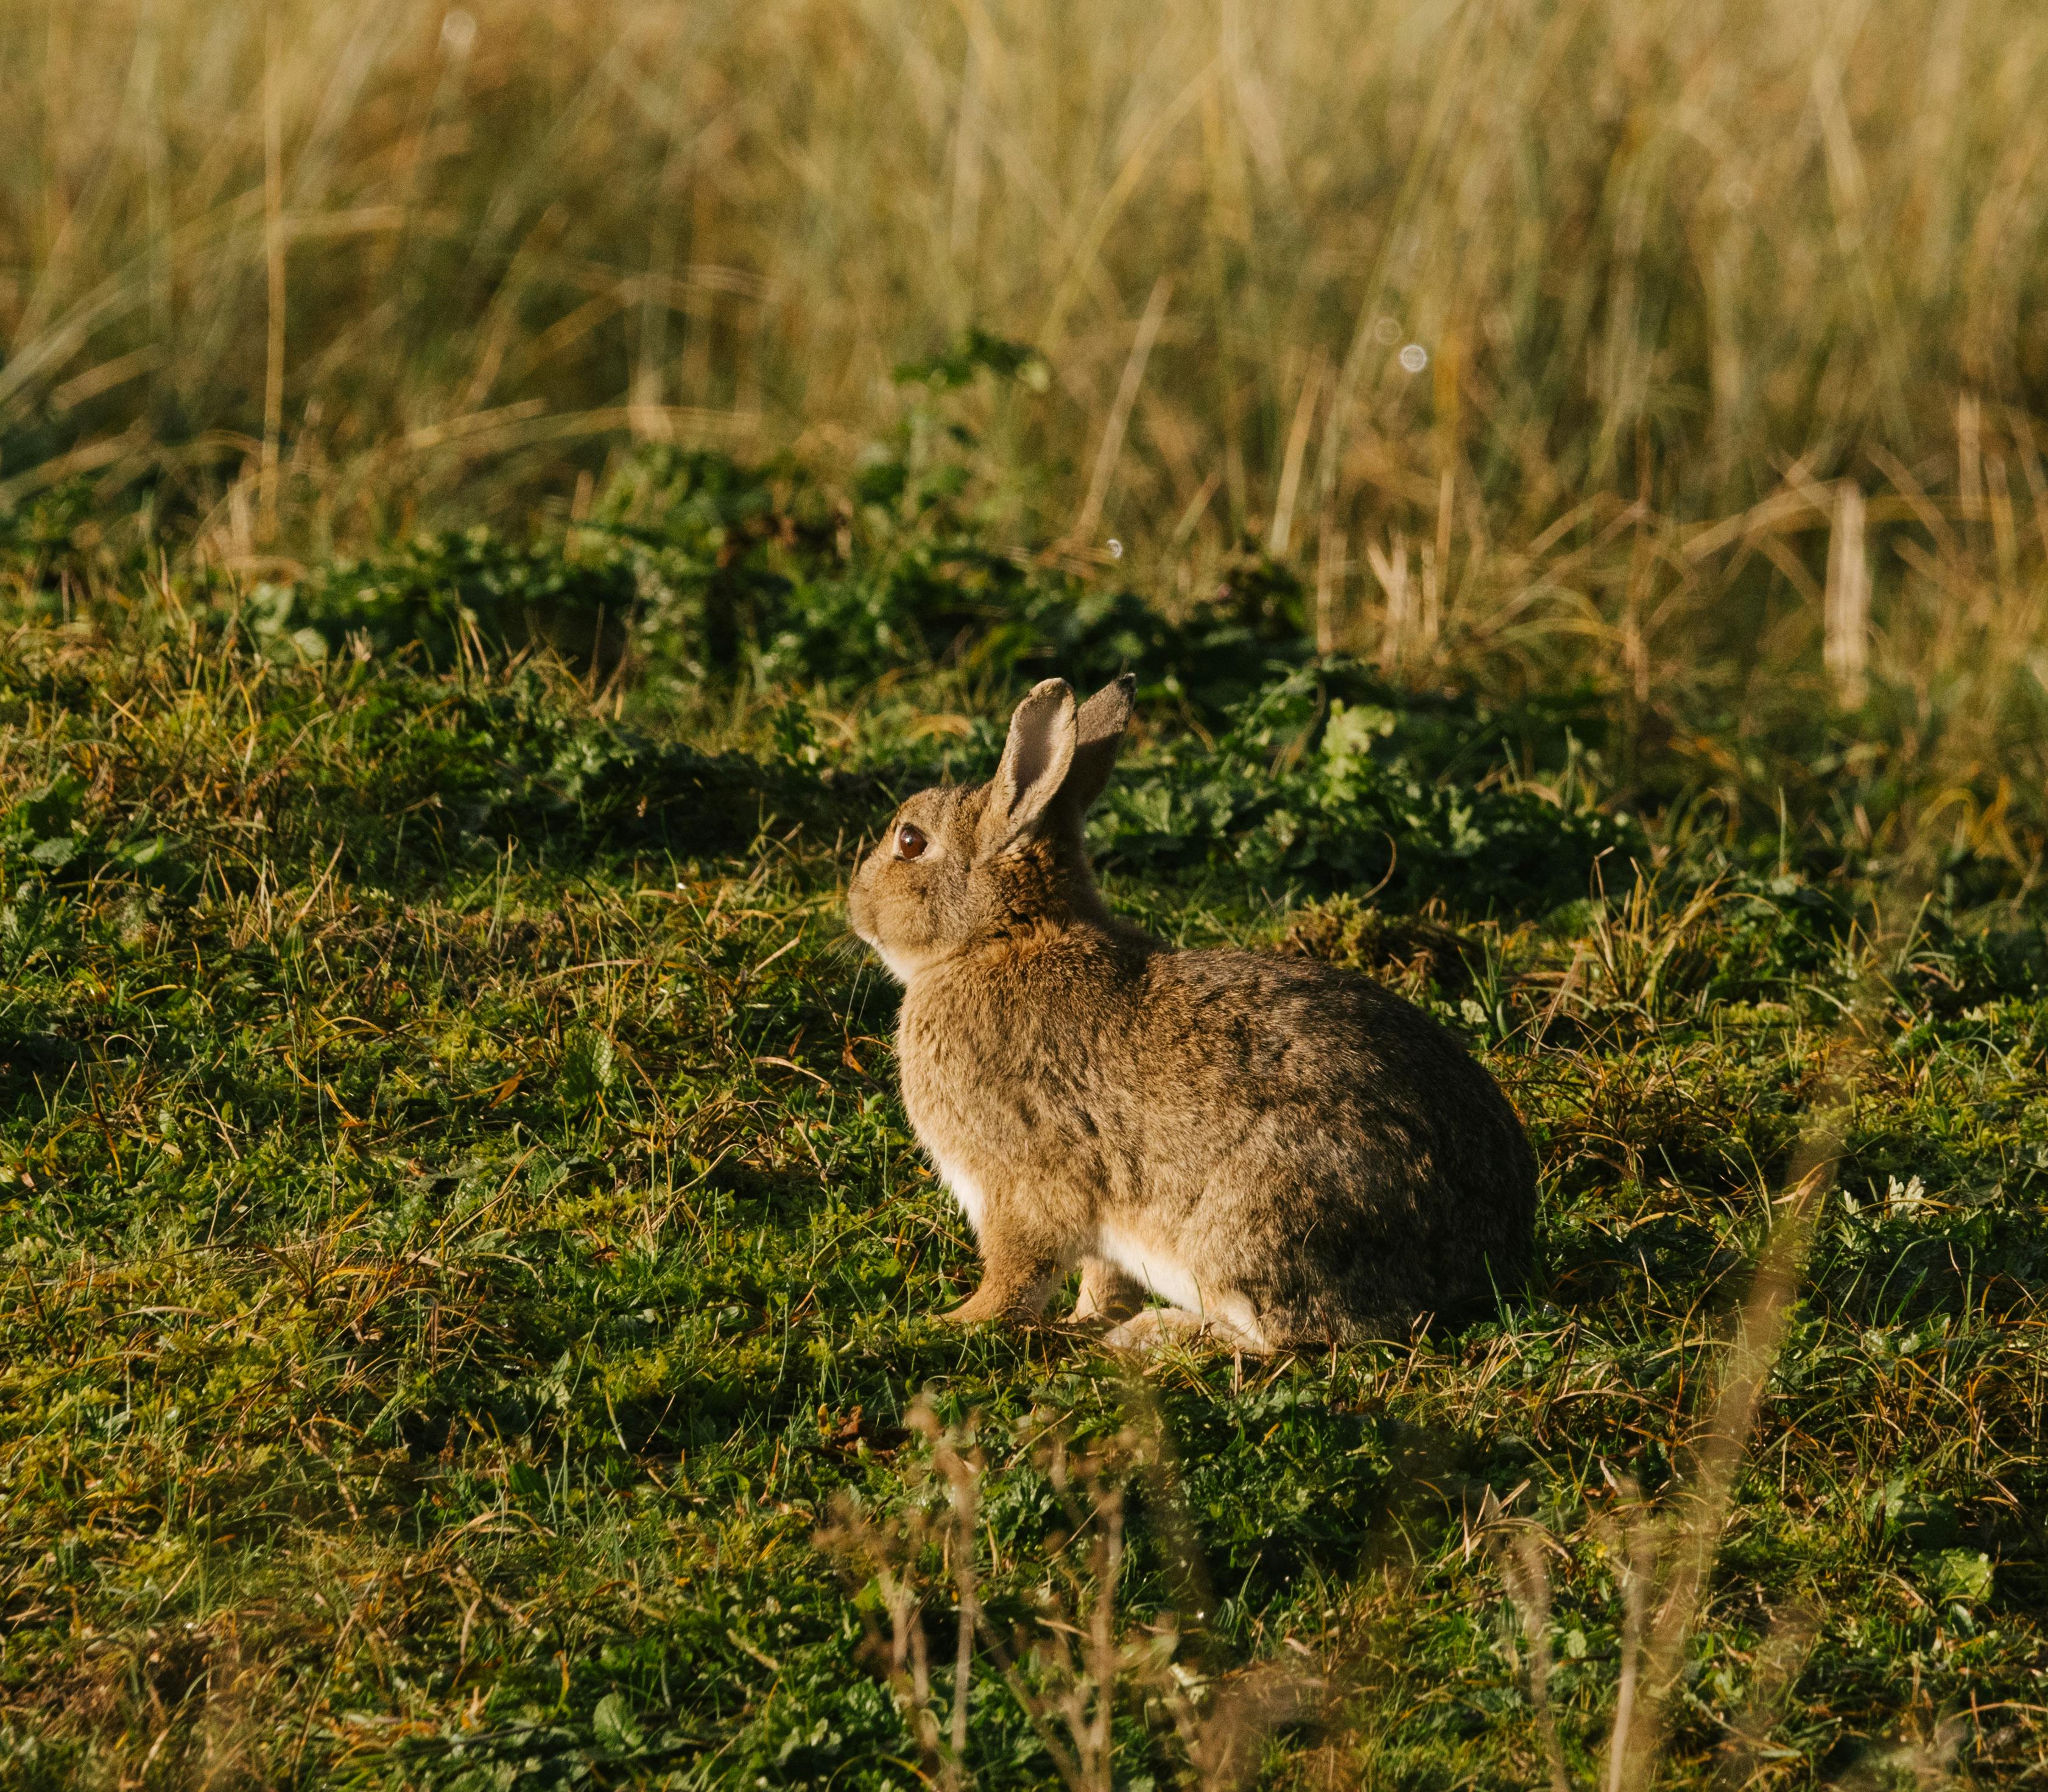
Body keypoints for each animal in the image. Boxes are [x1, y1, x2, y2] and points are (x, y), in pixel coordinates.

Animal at [845, 673, 1538, 1351]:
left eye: (910, 842)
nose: (853, 905)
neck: (999, 939)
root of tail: (1480, 1266)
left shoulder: (1016, 1182)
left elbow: (1017, 1275)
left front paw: (952, 1322)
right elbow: (1101, 1277)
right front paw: (1080, 1320)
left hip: (1254, 1227)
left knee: (1284, 1335)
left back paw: (1151, 1334)